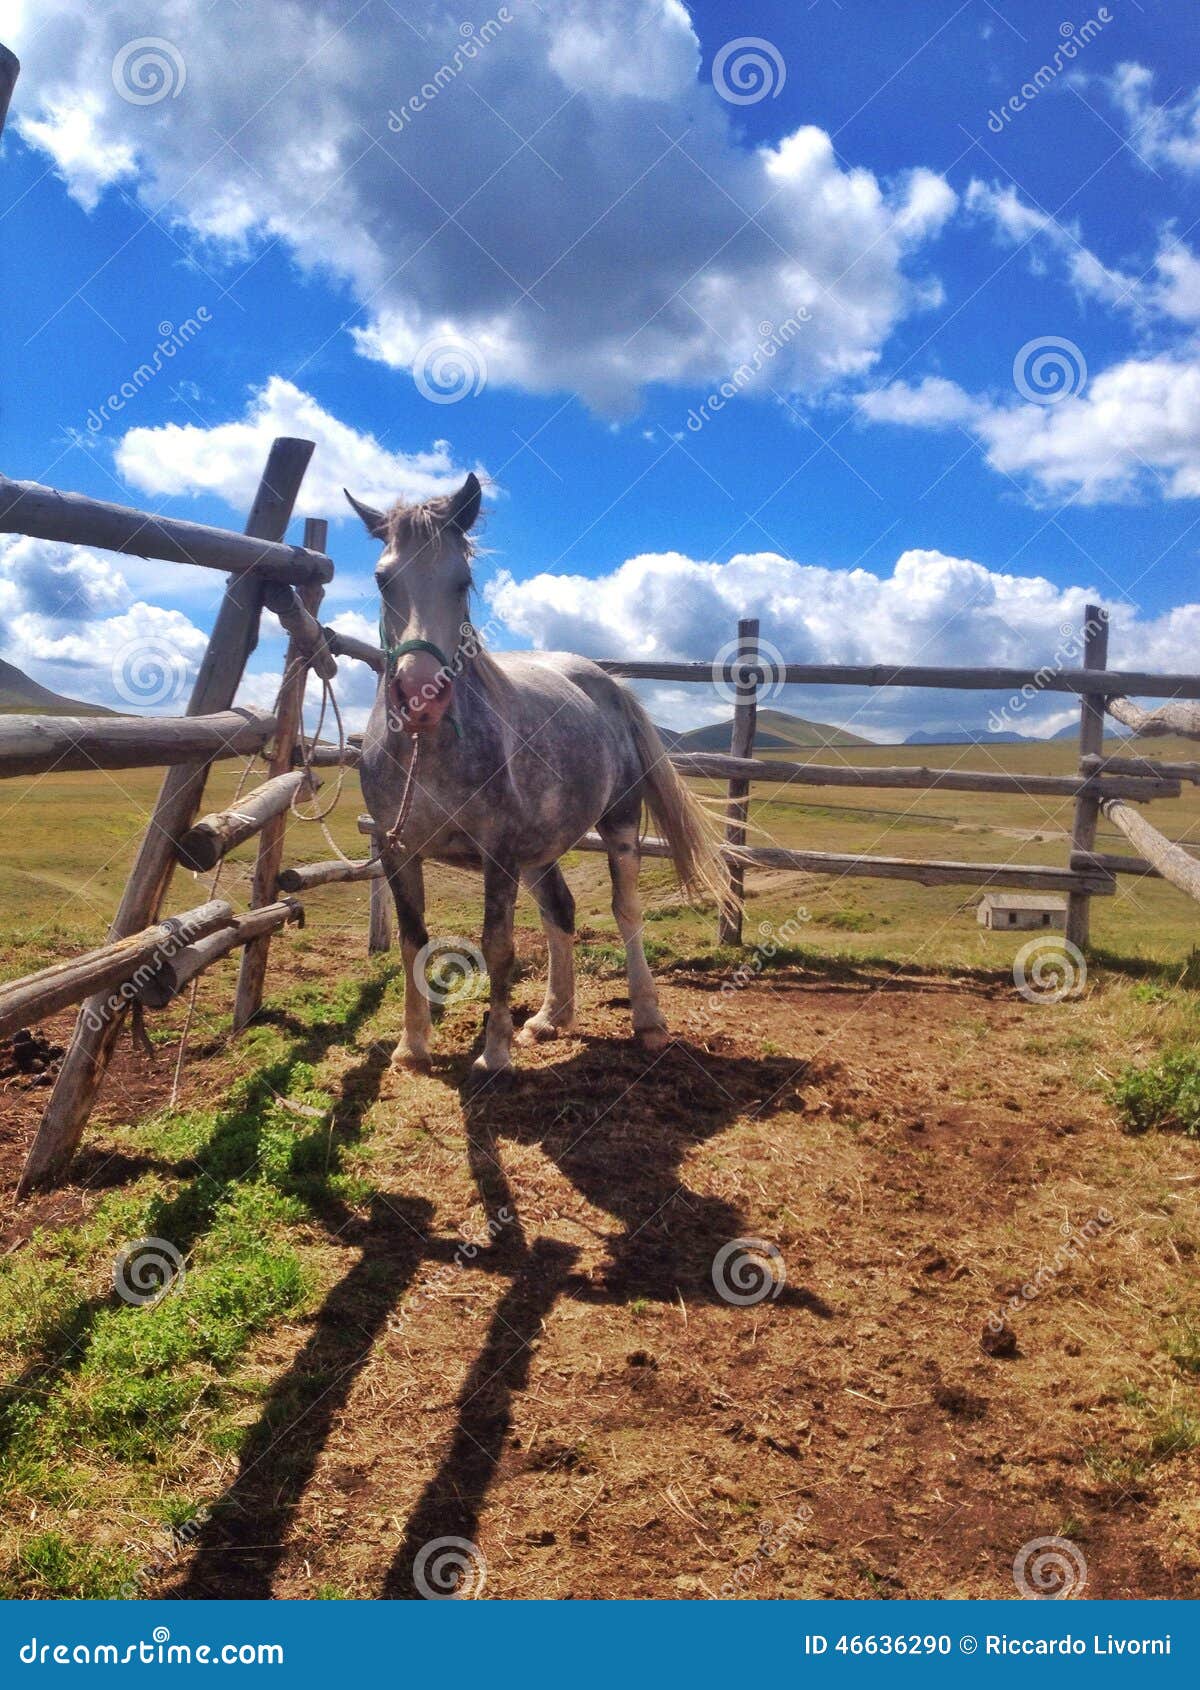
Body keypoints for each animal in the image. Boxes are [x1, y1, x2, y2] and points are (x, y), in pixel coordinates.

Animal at [346, 473, 728, 1077]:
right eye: (384, 580)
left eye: (463, 581)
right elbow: (413, 942)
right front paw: (412, 1047)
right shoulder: (397, 848)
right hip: (539, 851)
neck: (427, 751)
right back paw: (552, 1017)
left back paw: (648, 1021)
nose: (421, 694)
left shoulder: (498, 852)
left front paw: (495, 1053)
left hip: (618, 824)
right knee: (559, 912)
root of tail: (607, 683)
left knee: (626, 912)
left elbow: (498, 946)